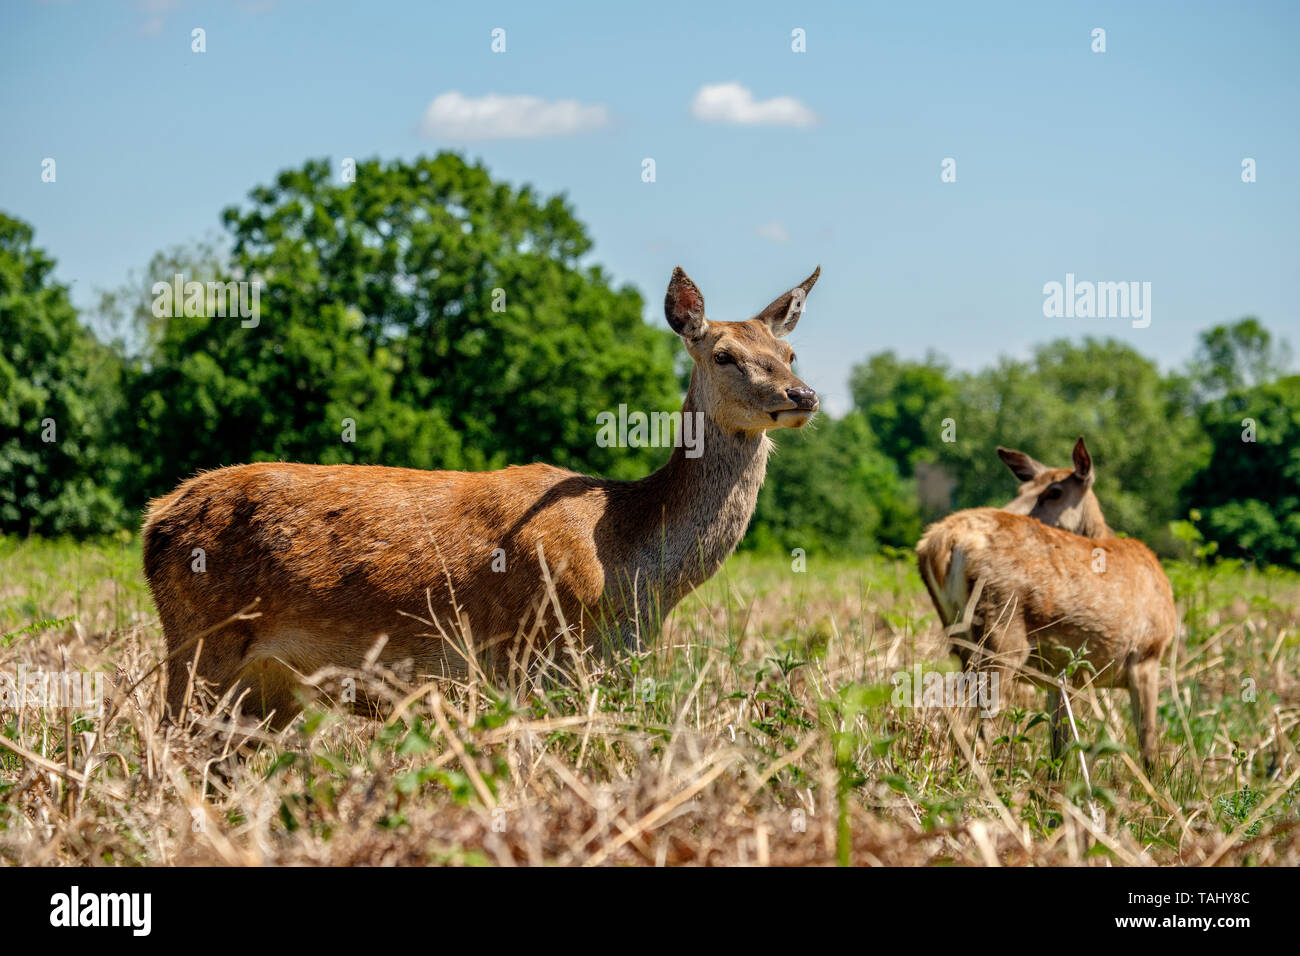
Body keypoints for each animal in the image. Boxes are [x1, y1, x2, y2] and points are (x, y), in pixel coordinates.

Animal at [143, 265, 821, 727]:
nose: (803, 395)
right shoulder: (539, 655)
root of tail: (156, 520)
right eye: (725, 355)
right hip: (198, 647)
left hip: (264, 688)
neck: (631, 573)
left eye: (789, 351)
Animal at [916, 438, 1175, 769]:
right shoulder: (1147, 653)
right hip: (1002, 635)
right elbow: (1148, 745)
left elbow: (1060, 748)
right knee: (979, 733)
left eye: (1054, 491)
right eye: (1021, 490)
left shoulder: (1061, 675)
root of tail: (938, 542)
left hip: (961, 640)